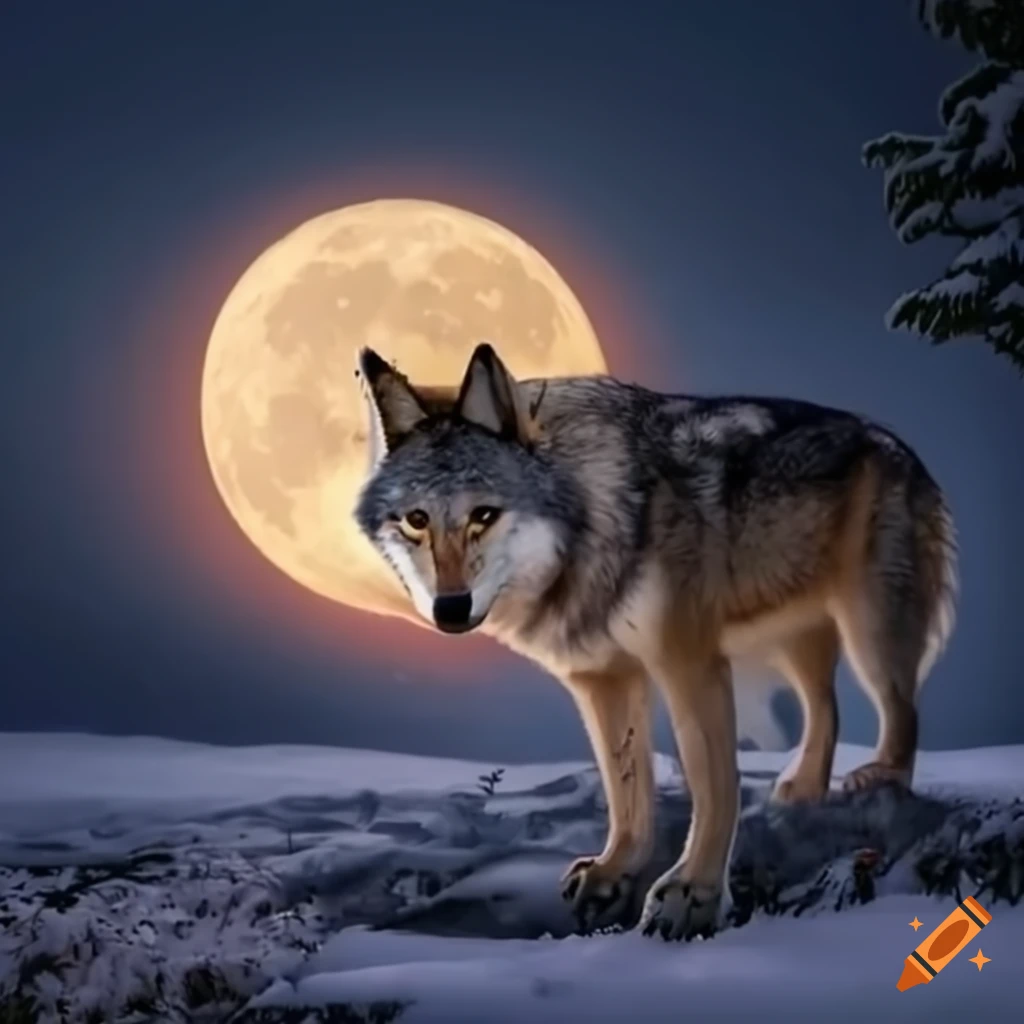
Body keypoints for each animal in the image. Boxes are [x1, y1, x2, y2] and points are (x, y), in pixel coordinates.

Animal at [353, 342, 958, 941]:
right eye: (417, 520)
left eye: (484, 514)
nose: (449, 609)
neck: (597, 520)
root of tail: (897, 443)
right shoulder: (603, 678)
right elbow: (627, 790)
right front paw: (614, 870)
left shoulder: (688, 660)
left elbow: (713, 784)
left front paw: (692, 893)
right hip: (791, 639)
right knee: (826, 708)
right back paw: (805, 789)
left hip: (869, 633)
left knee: (901, 710)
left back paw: (884, 780)